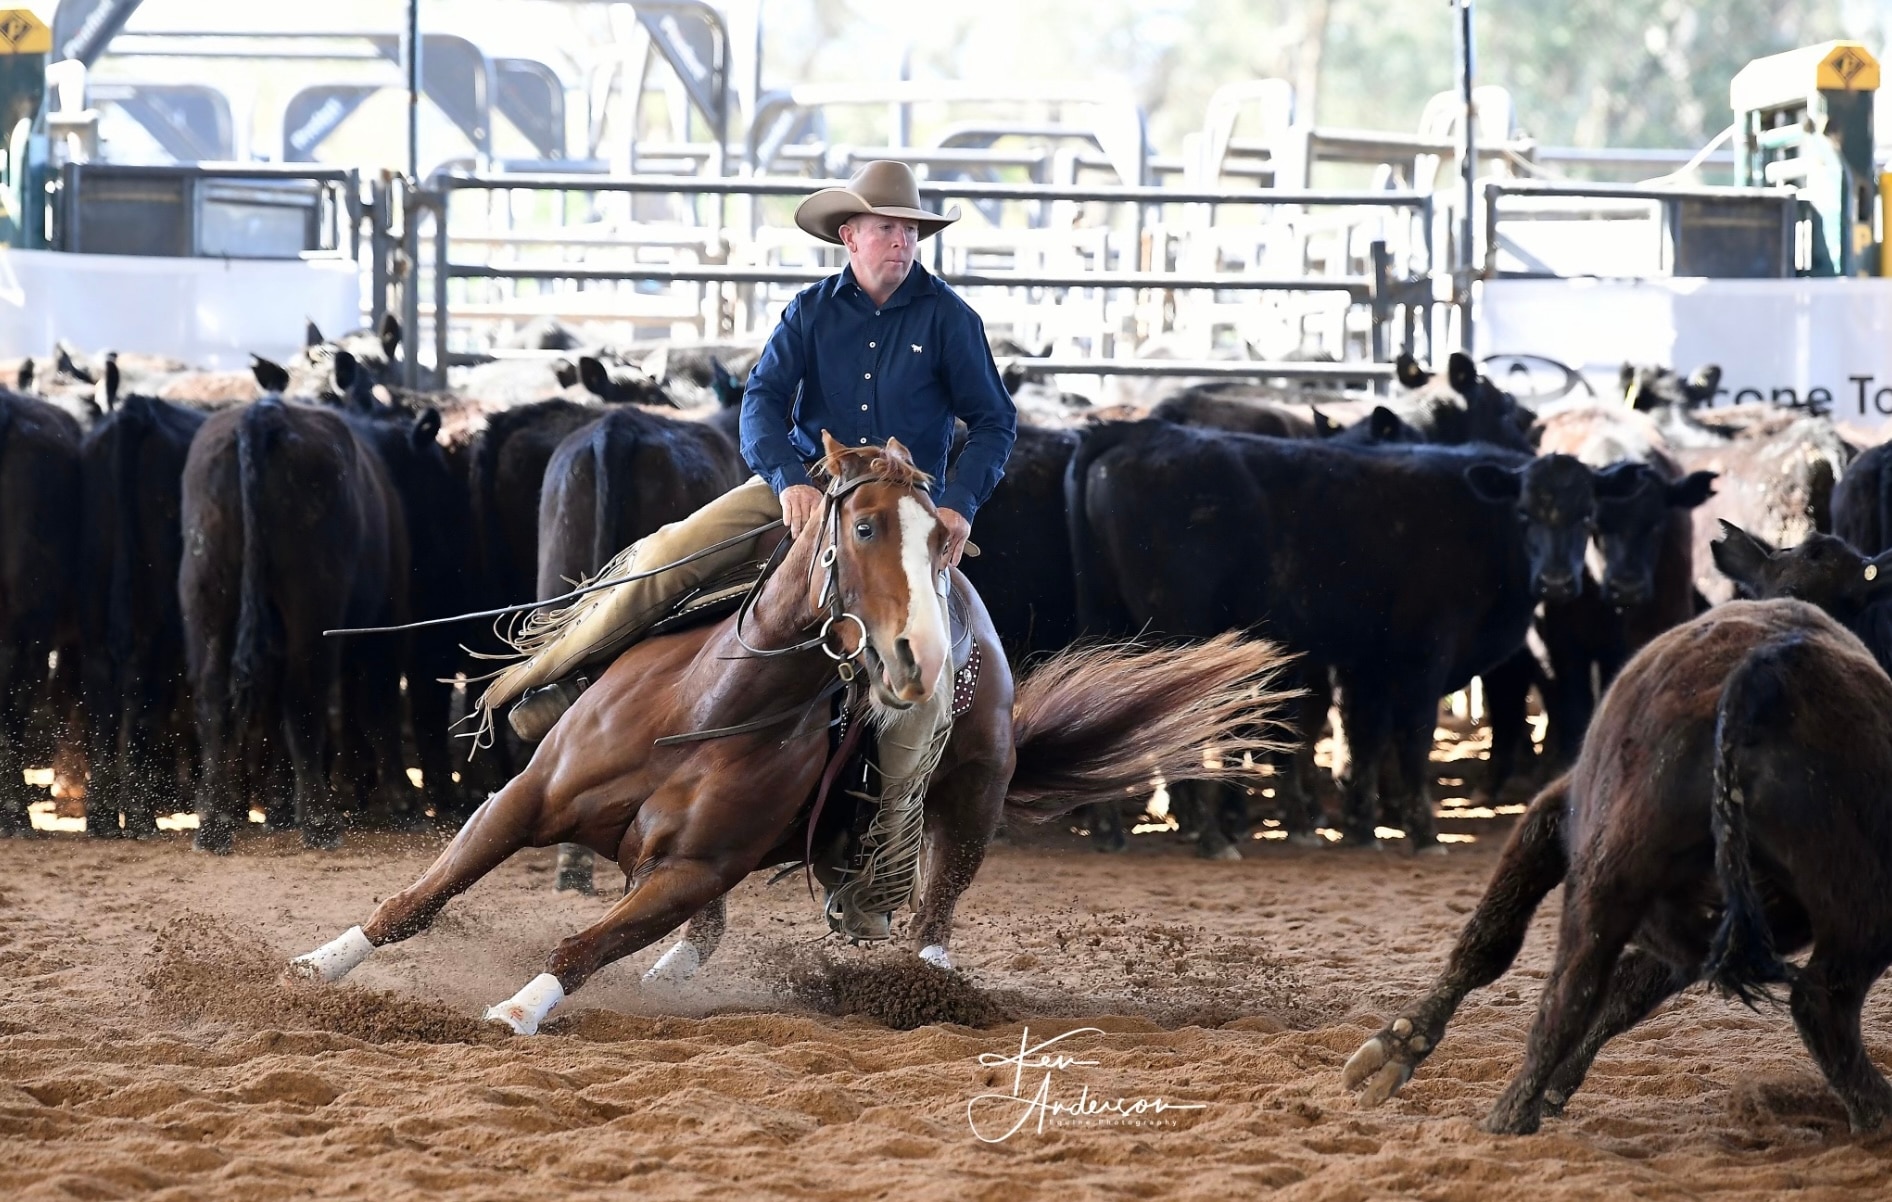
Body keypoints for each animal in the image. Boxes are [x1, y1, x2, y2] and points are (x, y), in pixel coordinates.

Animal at [289, 435, 1293, 1032]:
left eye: (937, 540)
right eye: (864, 524)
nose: (917, 655)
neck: (702, 713)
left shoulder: (694, 867)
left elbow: (583, 947)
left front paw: (518, 1010)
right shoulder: (524, 800)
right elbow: (420, 896)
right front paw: (319, 964)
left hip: (969, 799)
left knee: (934, 907)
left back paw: (923, 983)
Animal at [1344, 590, 1892, 1135]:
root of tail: (1765, 678)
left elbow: (1507, 948)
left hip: (1625, 876)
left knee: (1576, 989)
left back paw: (1510, 1117)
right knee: (1820, 1000)